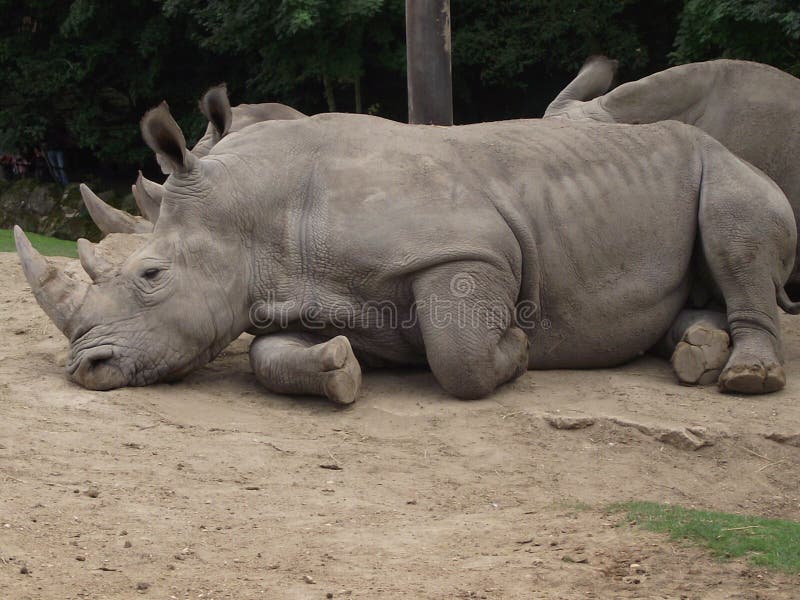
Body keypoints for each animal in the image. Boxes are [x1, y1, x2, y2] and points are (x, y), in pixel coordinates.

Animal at [15, 104, 797, 402]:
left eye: (151, 274)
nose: (86, 369)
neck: (255, 214)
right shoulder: (312, 291)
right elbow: (270, 356)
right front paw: (336, 370)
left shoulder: (470, 251)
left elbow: (460, 355)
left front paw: (518, 347)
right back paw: (696, 349)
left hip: (727, 166)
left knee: (737, 226)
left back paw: (745, 378)